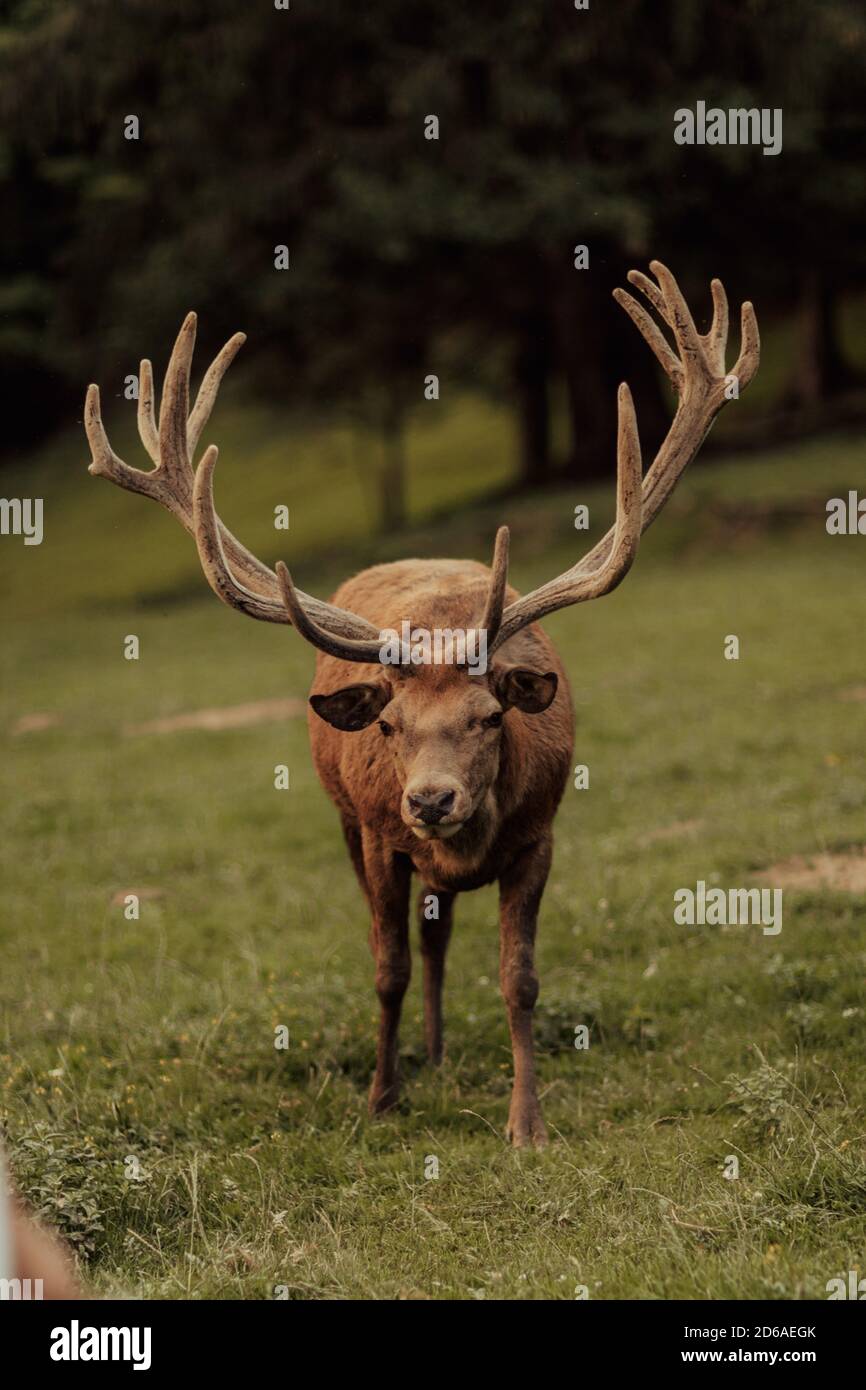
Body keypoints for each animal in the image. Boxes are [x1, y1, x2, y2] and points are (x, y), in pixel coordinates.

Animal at [85, 262, 759, 1146]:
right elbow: (388, 969)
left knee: (442, 935)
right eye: (388, 724)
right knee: (421, 941)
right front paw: (381, 1099)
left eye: (491, 718)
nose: (432, 799)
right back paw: (423, 1060)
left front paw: (525, 1123)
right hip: (349, 822)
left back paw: (440, 1054)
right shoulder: (378, 837)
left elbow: (518, 979)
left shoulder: (540, 839)